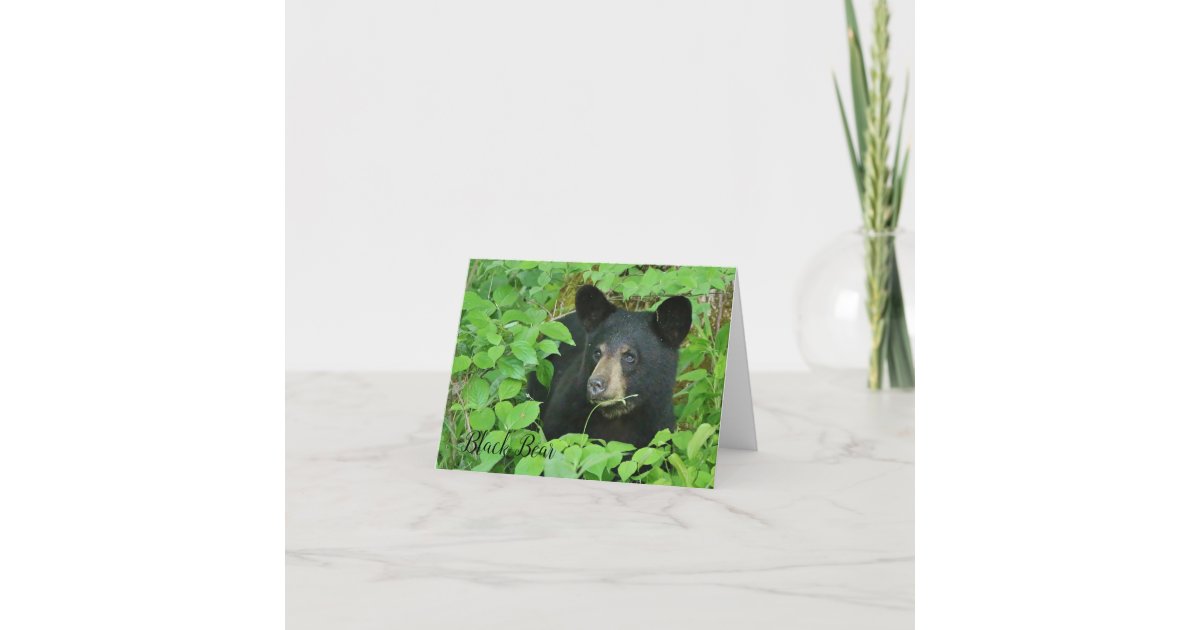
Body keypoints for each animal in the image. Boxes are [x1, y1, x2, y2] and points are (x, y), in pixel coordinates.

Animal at [527, 284, 692, 447]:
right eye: (597, 353)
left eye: (629, 357)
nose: (595, 384)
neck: (615, 416)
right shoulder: (565, 414)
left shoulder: (657, 428)